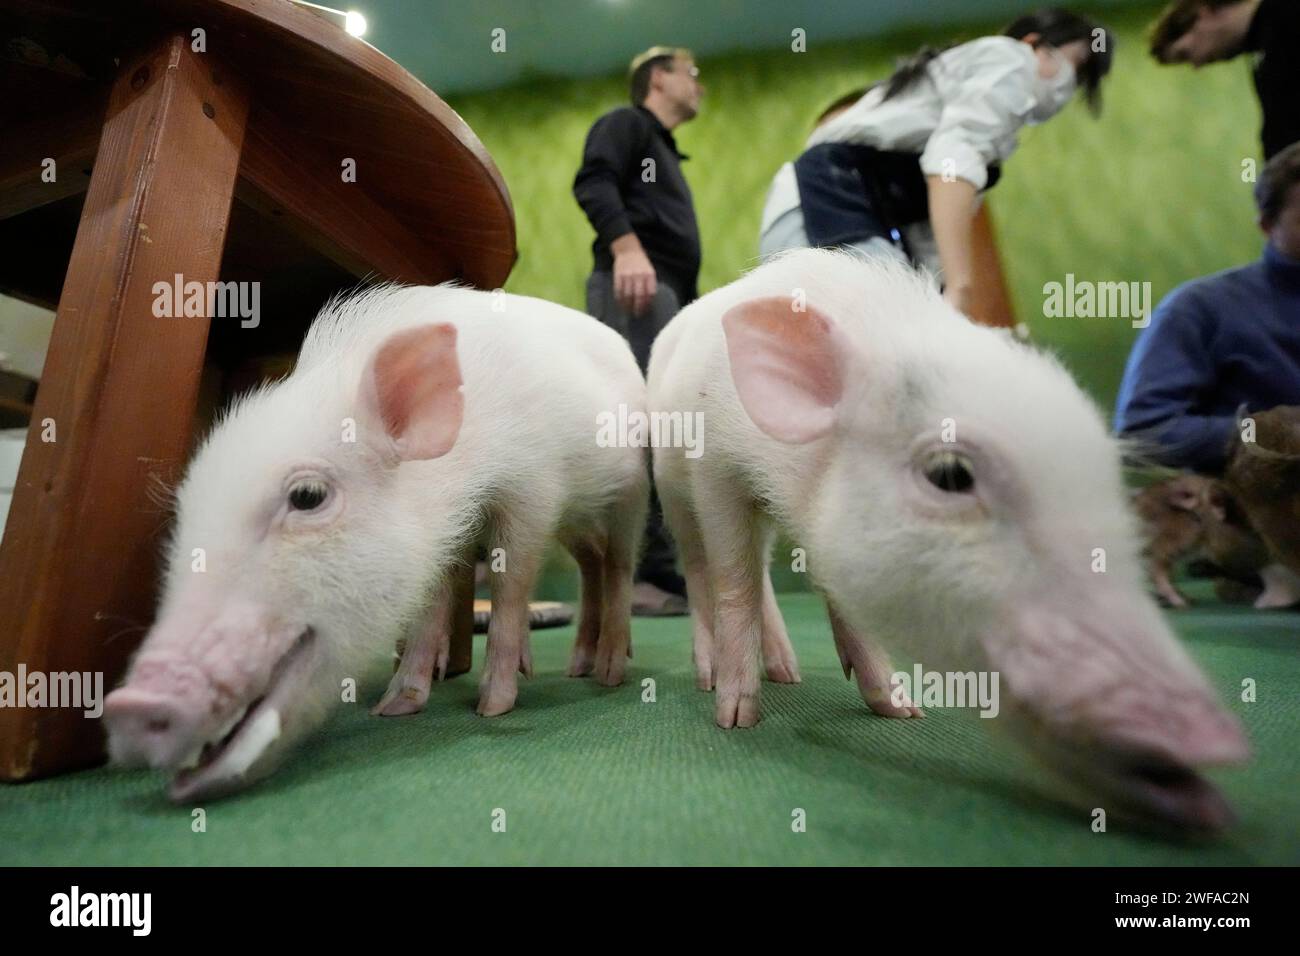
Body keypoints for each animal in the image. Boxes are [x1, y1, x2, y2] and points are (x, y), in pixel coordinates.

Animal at [103, 285, 648, 800]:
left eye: (307, 496)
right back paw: (572, 666)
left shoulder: (535, 490)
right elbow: (433, 595)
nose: (129, 705)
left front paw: (491, 709)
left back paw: (607, 673)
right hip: (578, 522)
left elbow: (509, 583)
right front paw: (396, 706)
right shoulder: (453, 529)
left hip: (632, 488)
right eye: (185, 510)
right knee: (591, 562)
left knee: (619, 562)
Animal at [646, 249, 1249, 832]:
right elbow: (734, 580)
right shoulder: (715, 470)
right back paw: (711, 678)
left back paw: (789, 673)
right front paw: (735, 720)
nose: (1217, 739)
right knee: (701, 566)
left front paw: (903, 710)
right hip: (671, 483)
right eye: (950, 475)